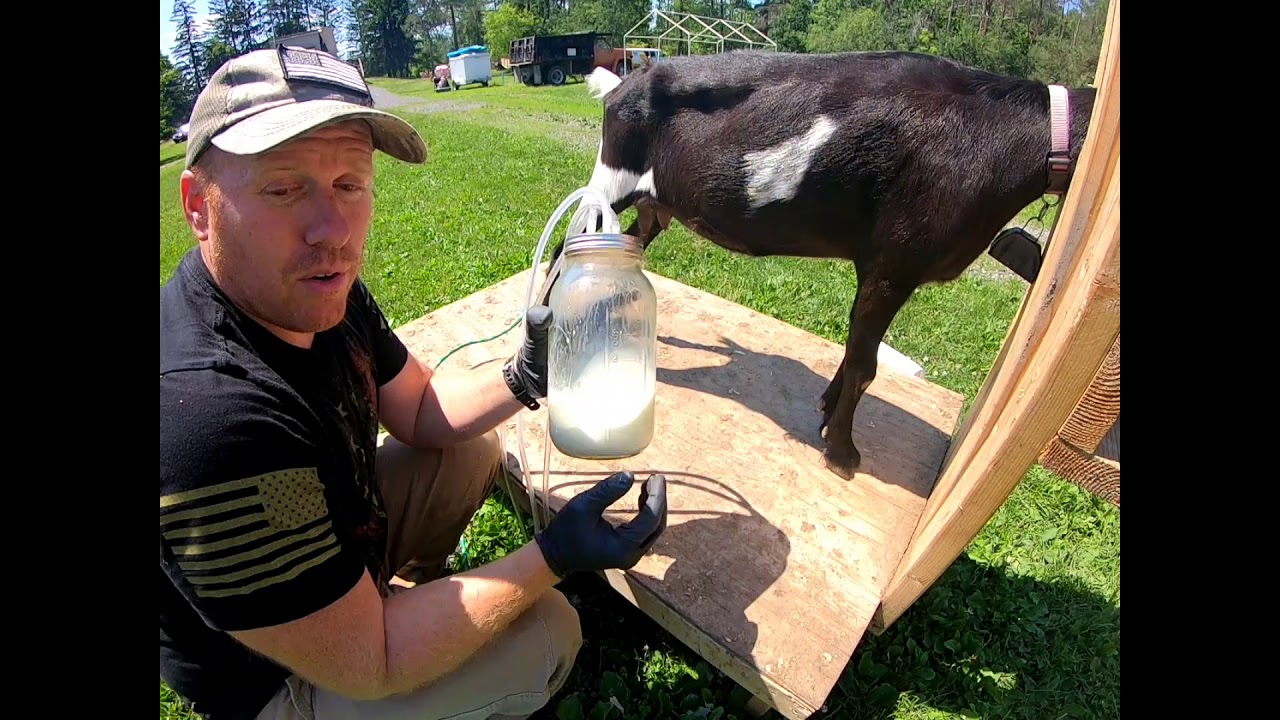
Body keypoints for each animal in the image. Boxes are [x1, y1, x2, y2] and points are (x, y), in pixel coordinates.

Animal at [543, 49, 1096, 480]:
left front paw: (828, 413)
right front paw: (843, 454)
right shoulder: (894, 263)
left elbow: (853, 349)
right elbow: (865, 366)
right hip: (612, 180)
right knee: (563, 251)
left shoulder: (871, 264)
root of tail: (622, 84)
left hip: (654, 205)